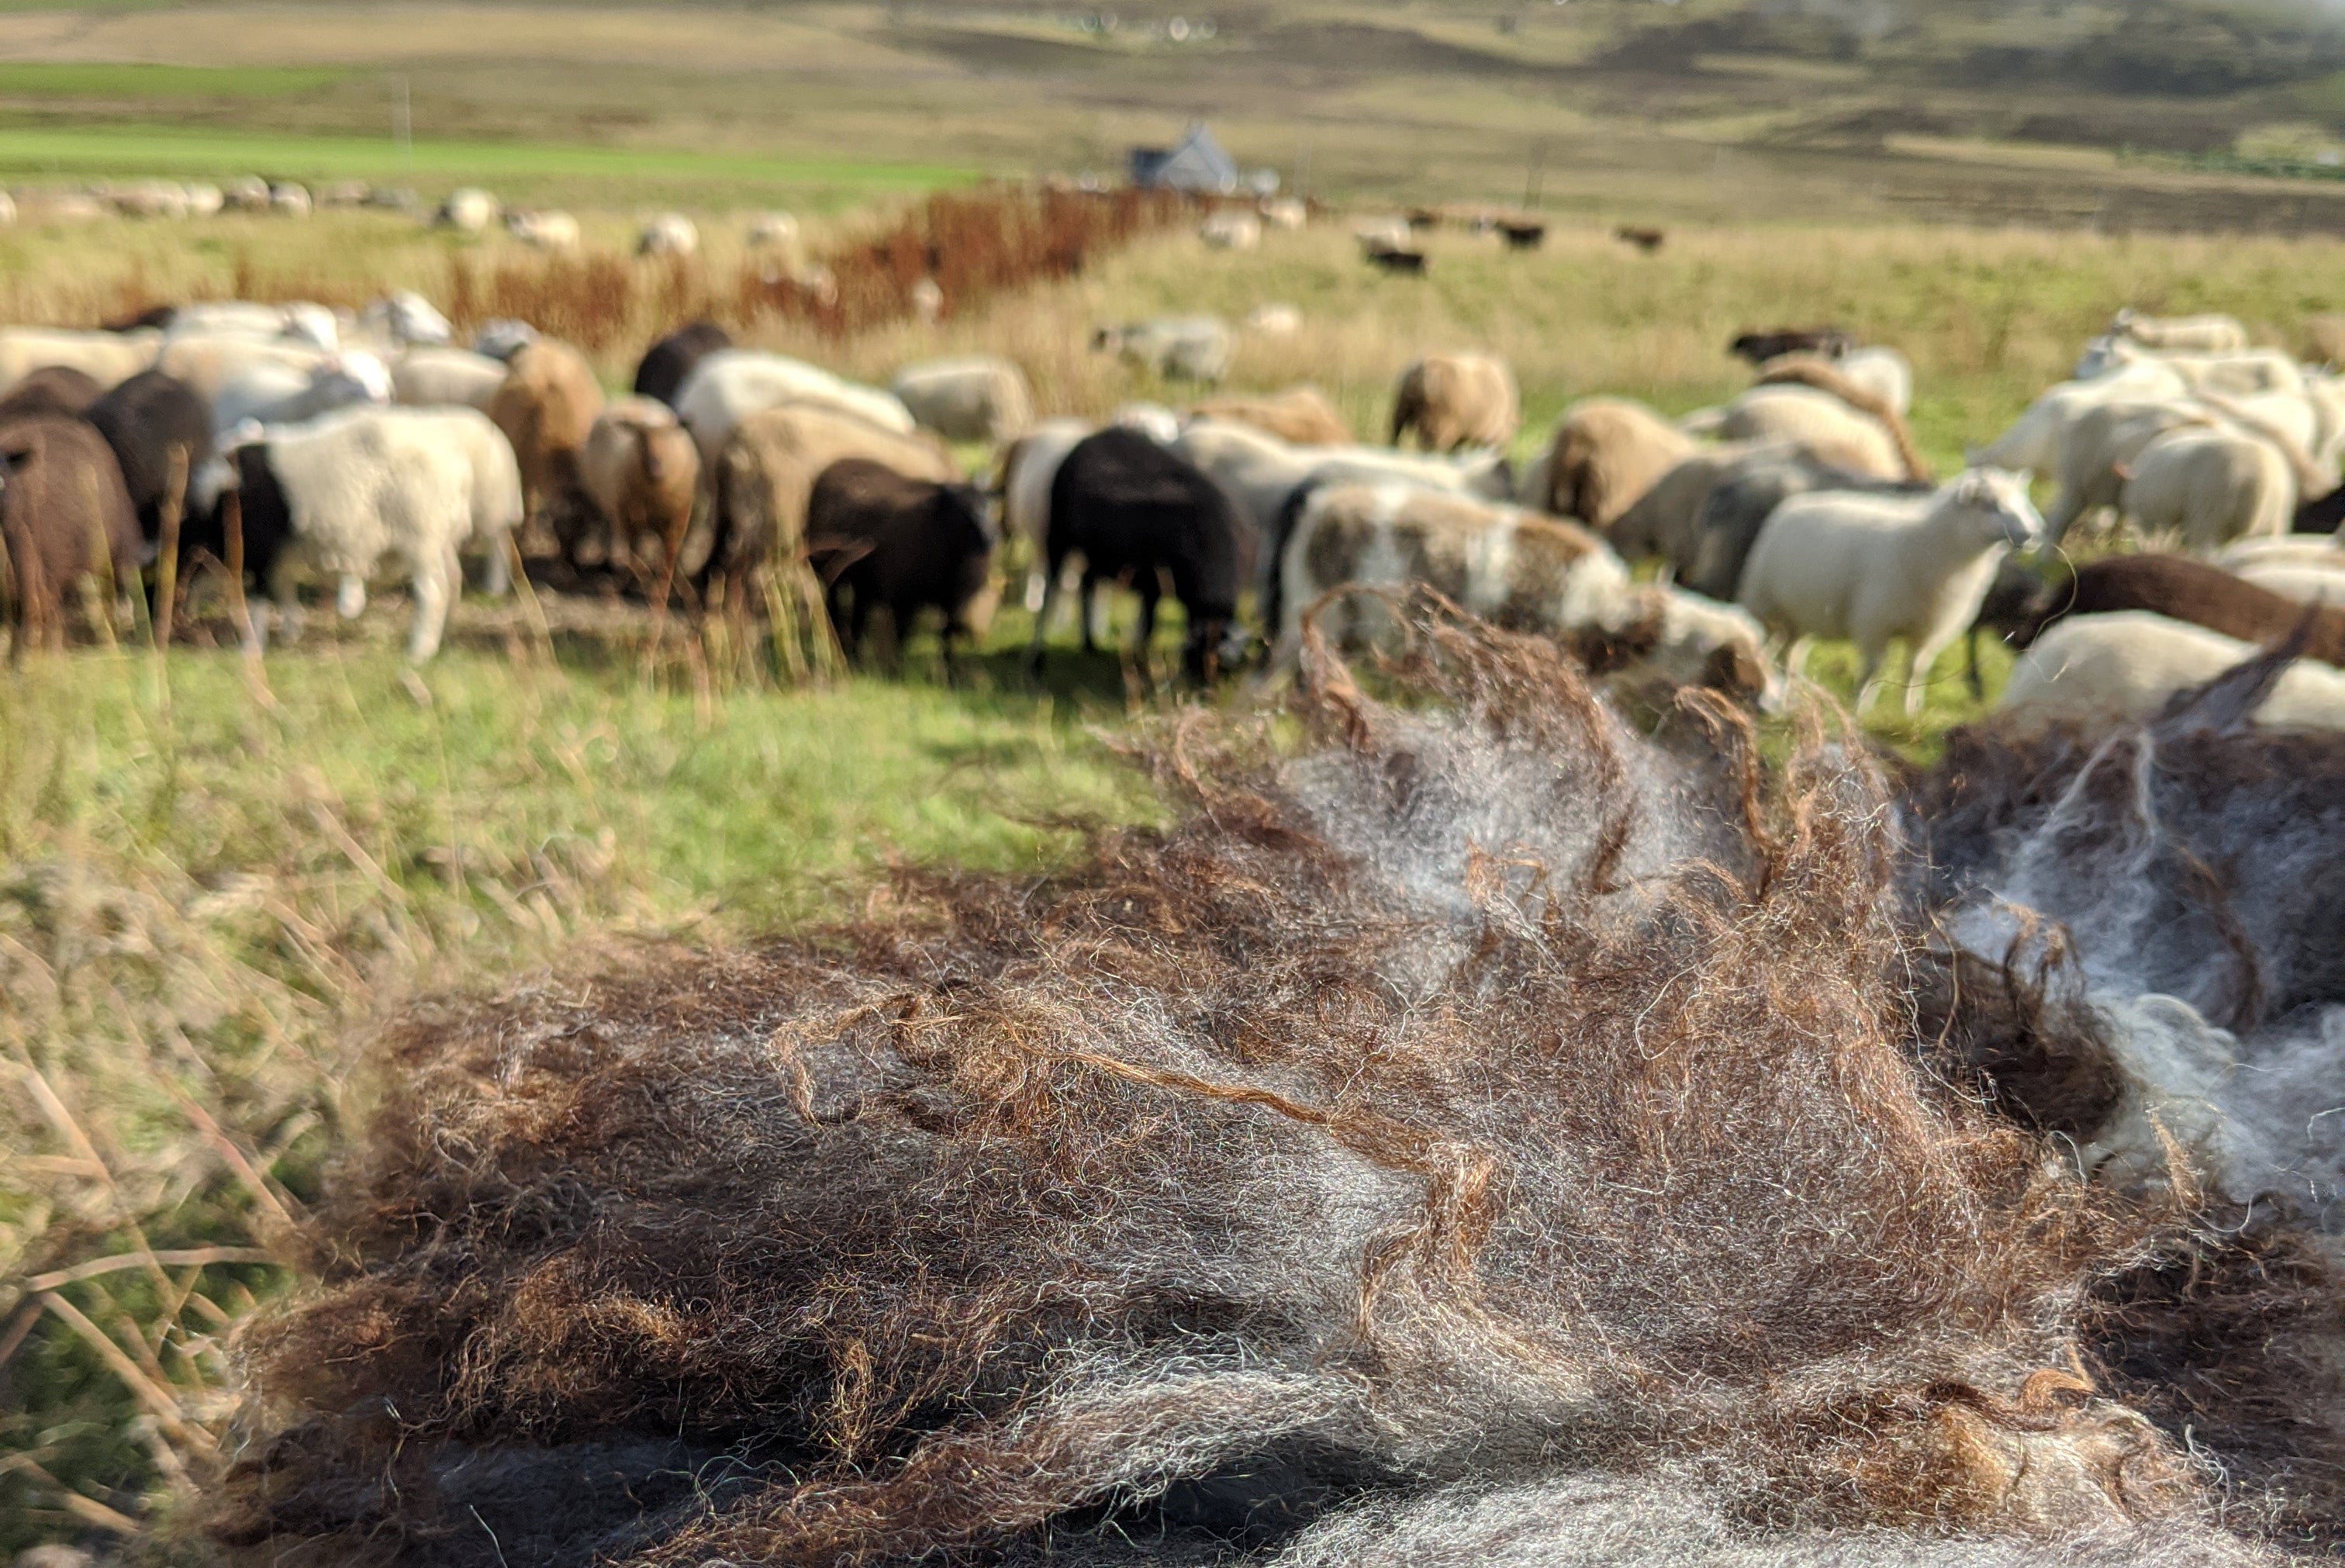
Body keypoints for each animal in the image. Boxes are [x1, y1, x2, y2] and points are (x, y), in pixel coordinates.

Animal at [574, 395, 701, 588]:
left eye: (668, 435)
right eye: (640, 436)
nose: (655, 466)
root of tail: (637, 398)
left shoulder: (677, 523)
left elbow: (668, 561)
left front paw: (663, 586)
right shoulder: (625, 519)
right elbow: (629, 555)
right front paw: (637, 579)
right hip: (614, 509)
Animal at [1737, 467, 2043, 714]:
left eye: (2022, 502)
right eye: (1991, 505)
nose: (2034, 535)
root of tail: (1794, 504)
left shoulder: (1927, 630)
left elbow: (1916, 670)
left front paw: (1909, 712)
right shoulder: (1875, 620)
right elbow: (1872, 669)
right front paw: (1859, 707)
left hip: (1801, 617)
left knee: (1789, 656)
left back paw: (1787, 694)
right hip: (1764, 603)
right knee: (1761, 644)